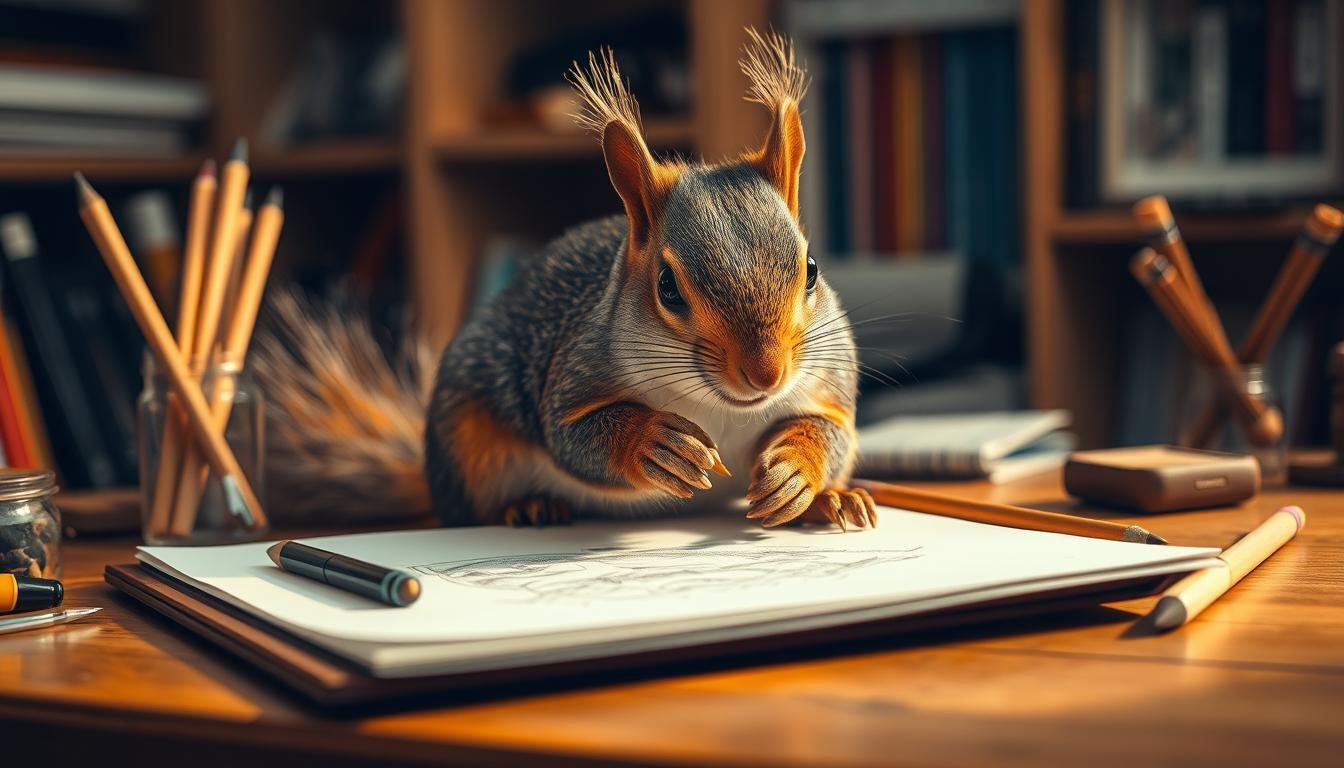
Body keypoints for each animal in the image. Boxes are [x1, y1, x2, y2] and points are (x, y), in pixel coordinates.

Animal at [254, 30, 872, 530]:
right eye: (668, 288)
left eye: (811, 270)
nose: (766, 374)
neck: (721, 408)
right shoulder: (578, 367)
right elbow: (571, 434)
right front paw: (653, 443)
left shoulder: (830, 385)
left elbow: (831, 431)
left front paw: (796, 473)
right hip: (465, 438)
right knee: (473, 508)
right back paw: (527, 507)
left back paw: (834, 501)